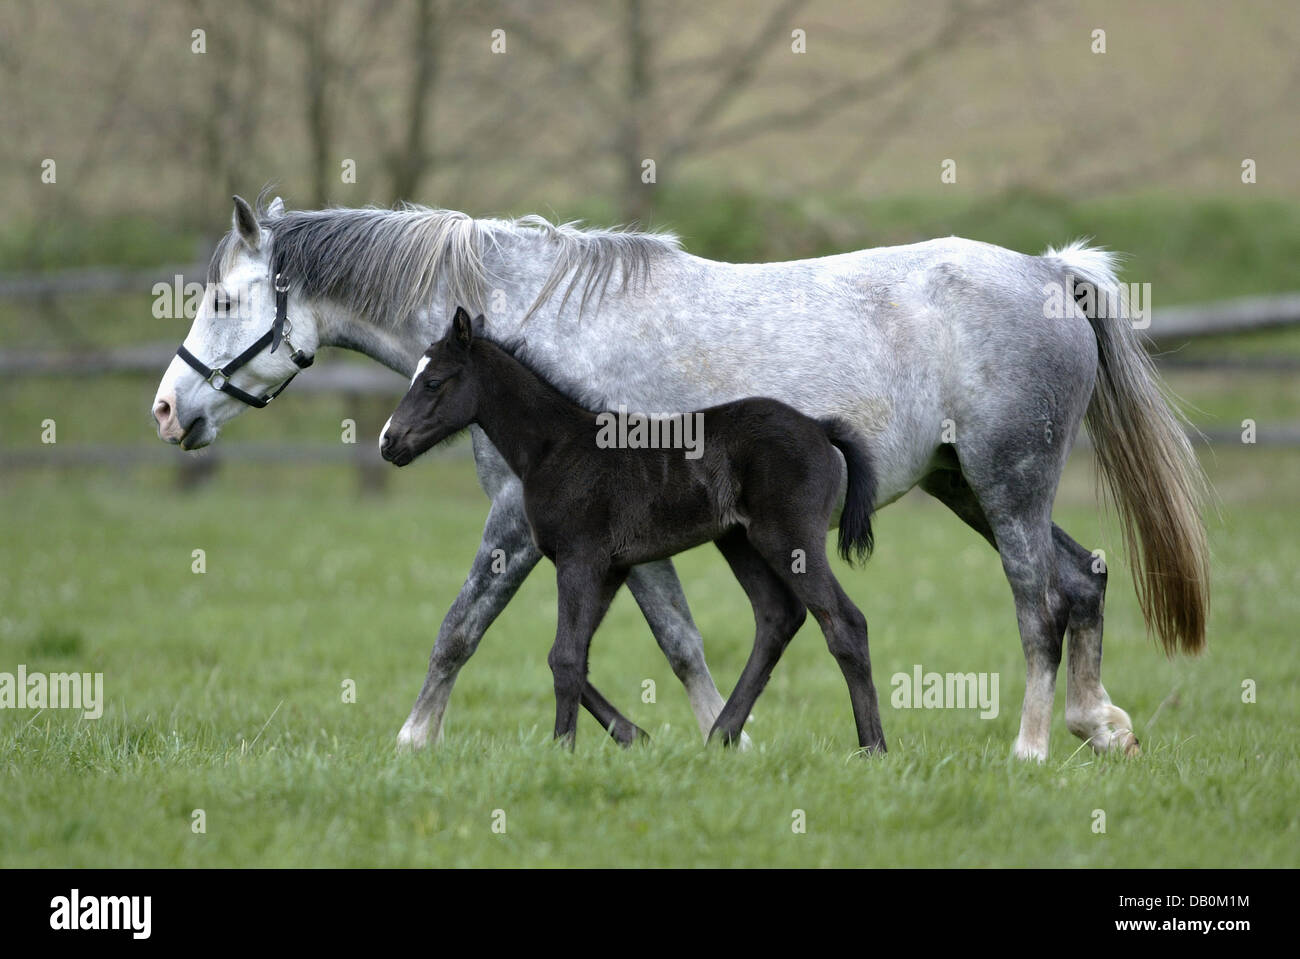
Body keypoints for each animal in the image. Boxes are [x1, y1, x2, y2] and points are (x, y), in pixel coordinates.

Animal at [379, 308, 884, 751]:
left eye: (433, 381)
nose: (389, 442)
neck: (554, 447)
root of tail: (818, 427)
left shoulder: (579, 558)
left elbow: (566, 657)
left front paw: (562, 750)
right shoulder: (610, 569)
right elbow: (569, 657)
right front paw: (633, 736)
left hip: (788, 538)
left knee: (845, 622)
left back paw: (872, 748)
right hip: (740, 540)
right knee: (778, 617)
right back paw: (720, 737)